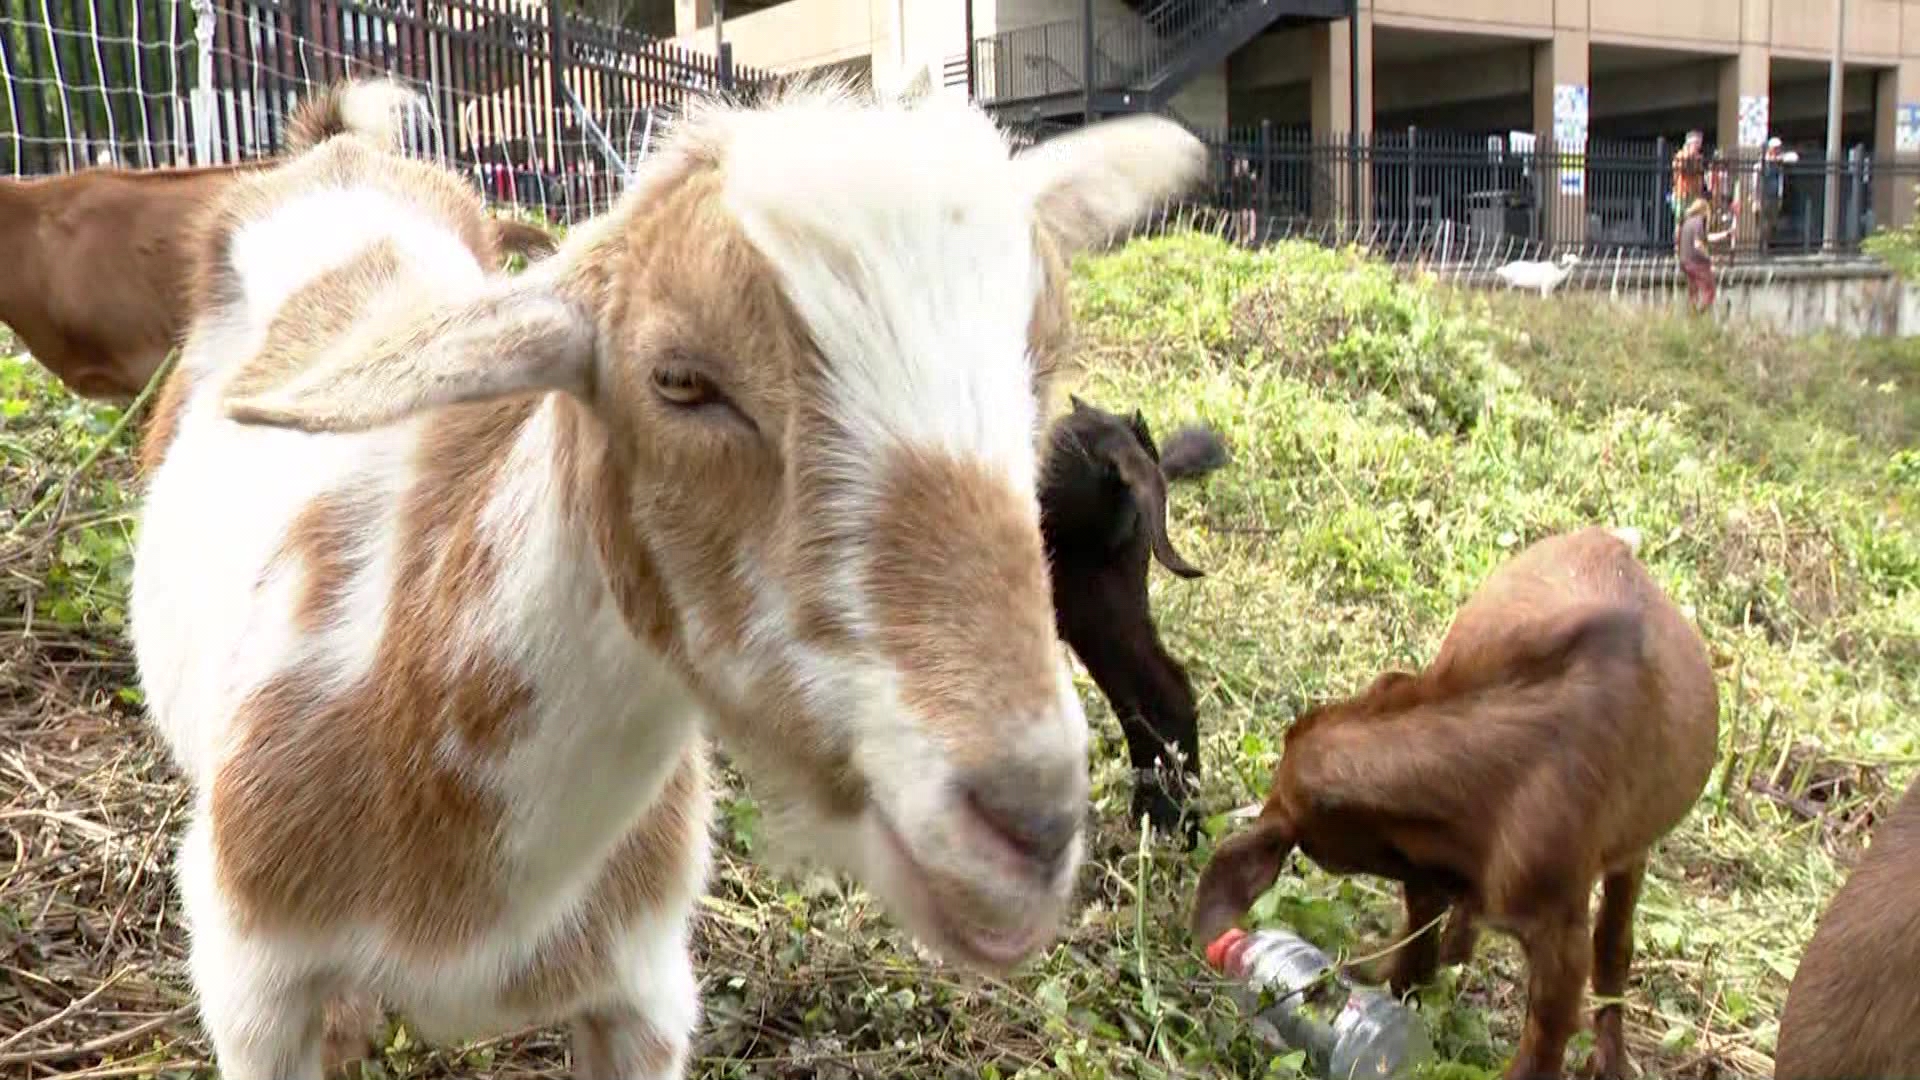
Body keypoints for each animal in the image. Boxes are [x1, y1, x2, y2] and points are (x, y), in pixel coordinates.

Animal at [130, 74, 1207, 1080]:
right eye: (681, 381)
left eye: (1041, 370)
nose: (1030, 825)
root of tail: (341, 152)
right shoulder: (253, 986)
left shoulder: (644, 996)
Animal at [1191, 525, 1718, 1080]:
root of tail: (1607, 537)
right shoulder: (1428, 862)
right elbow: (1418, 937)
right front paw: (1394, 982)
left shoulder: (1559, 933)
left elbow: (1544, 1039)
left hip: (1632, 847)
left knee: (1615, 941)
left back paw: (1608, 1052)